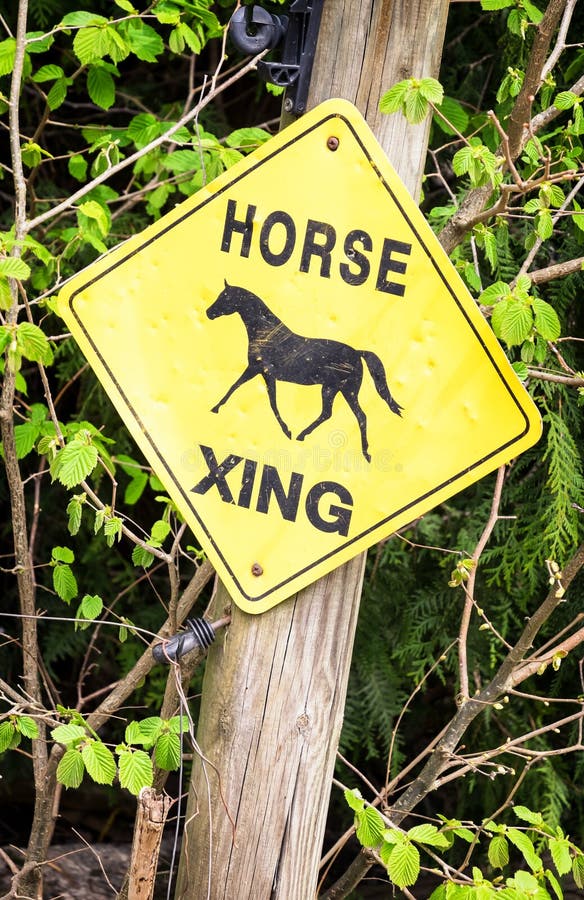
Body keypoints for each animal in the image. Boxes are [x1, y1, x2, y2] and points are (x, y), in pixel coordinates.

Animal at [206, 281, 403, 462]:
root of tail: (357, 353)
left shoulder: (262, 371)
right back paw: (305, 436)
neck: (268, 334)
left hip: (343, 390)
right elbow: (241, 388)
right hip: (336, 389)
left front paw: (287, 431)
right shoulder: (259, 371)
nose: (208, 313)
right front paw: (215, 408)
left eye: (226, 297)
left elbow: (266, 400)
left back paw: (363, 453)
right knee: (334, 414)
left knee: (356, 416)